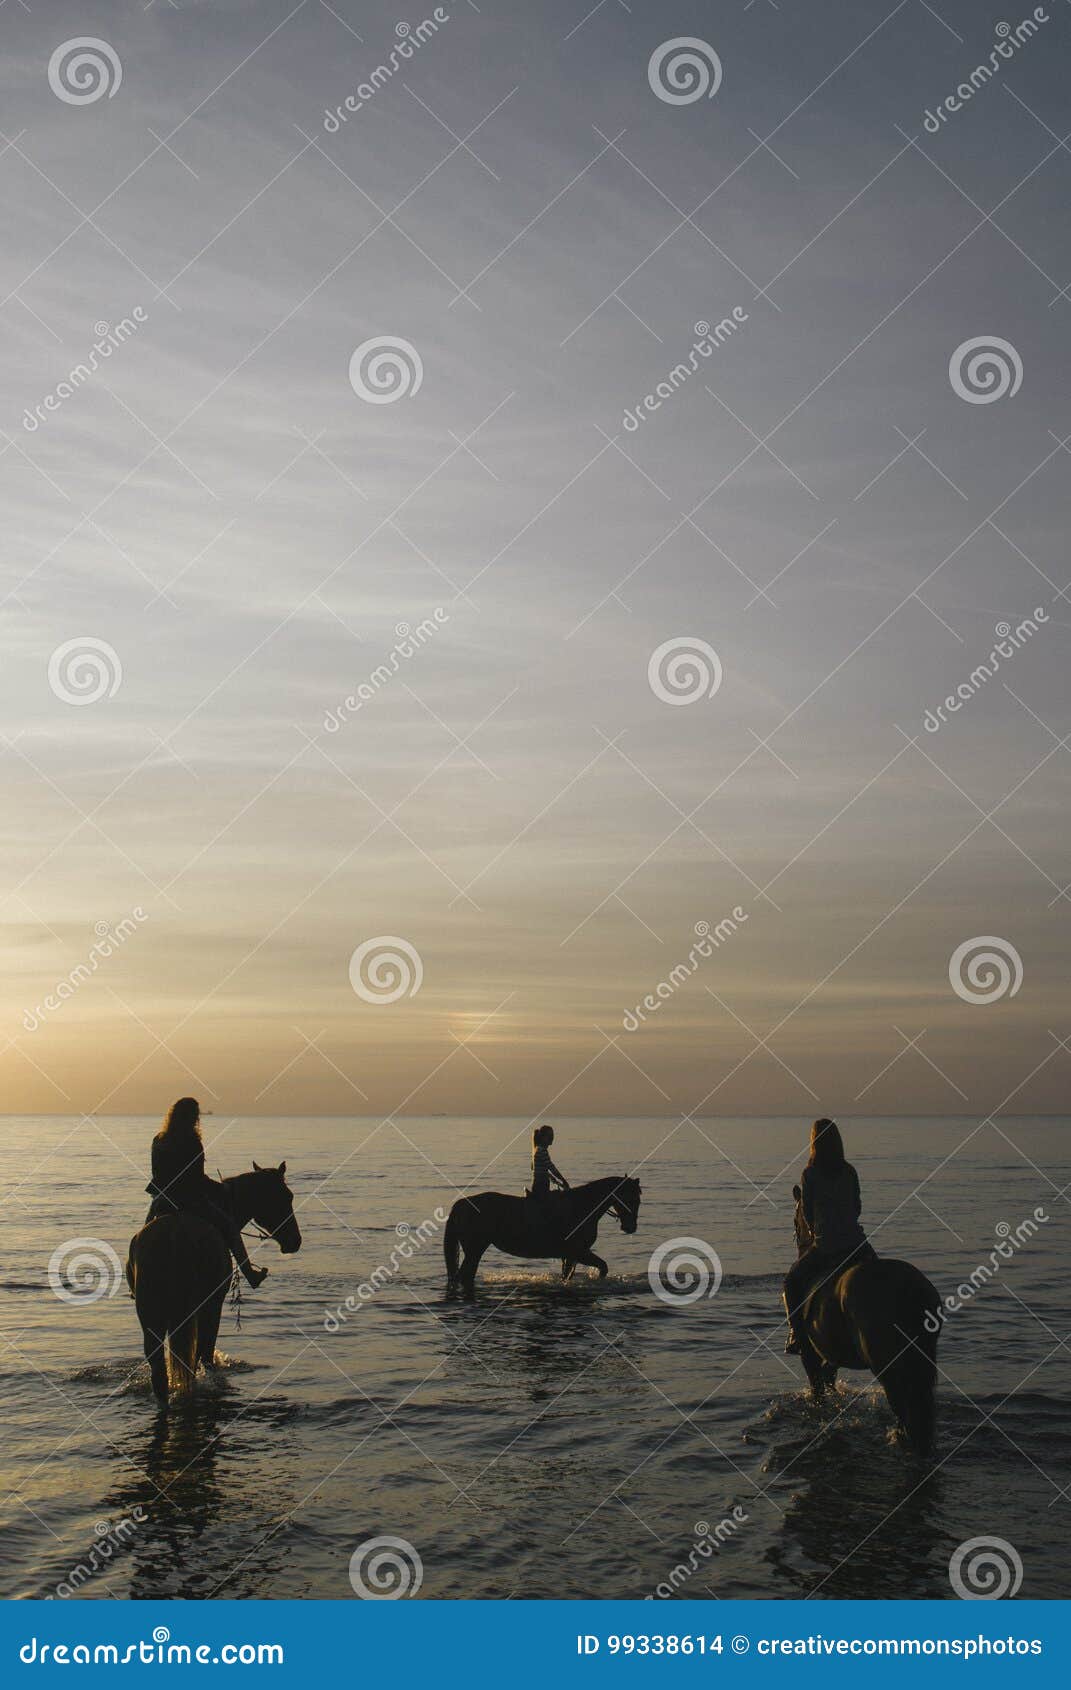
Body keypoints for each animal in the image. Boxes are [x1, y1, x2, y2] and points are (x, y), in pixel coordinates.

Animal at [125, 1162, 301, 1404]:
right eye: (287, 1196)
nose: (295, 1241)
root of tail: (175, 1235)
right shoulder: (214, 1305)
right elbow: (205, 1354)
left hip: (150, 1315)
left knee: (159, 1370)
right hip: (204, 1306)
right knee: (200, 1354)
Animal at [444, 1176, 642, 1293]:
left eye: (638, 1199)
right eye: (629, 1198)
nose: (630, 1227)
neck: (582, 1206)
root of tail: (461, 1204)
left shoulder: (570, 1256)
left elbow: (568, 1276)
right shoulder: (578, 1252)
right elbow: (603, 1267)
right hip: (475, 1250)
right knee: (464, 1276)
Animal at [787, 1184, 941, 1454]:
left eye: (796, 1220)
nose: (798, 1236)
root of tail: (908, 1286)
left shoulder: (810, 1354)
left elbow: (818, 1391)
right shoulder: (832, 1354)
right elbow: (829, 1379)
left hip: (888, 1367)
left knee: (905, 1411)